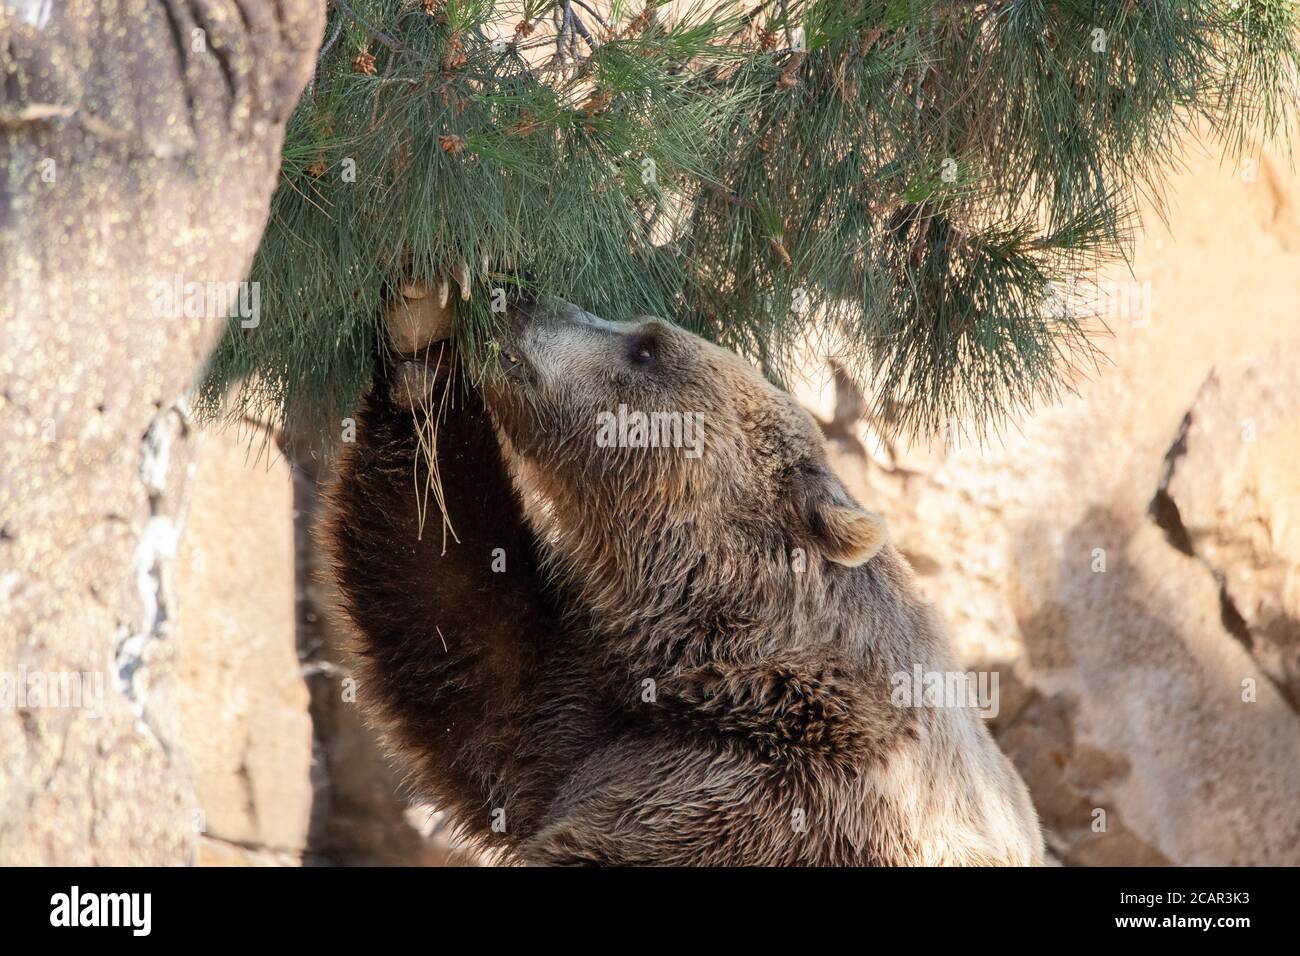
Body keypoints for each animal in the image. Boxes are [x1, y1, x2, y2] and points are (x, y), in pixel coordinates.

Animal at [323, 294, 1044, 866]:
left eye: (647, 346)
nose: (521, 299)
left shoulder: (765, 802)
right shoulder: (592, 702)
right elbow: (467, 644)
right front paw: (419, 359)